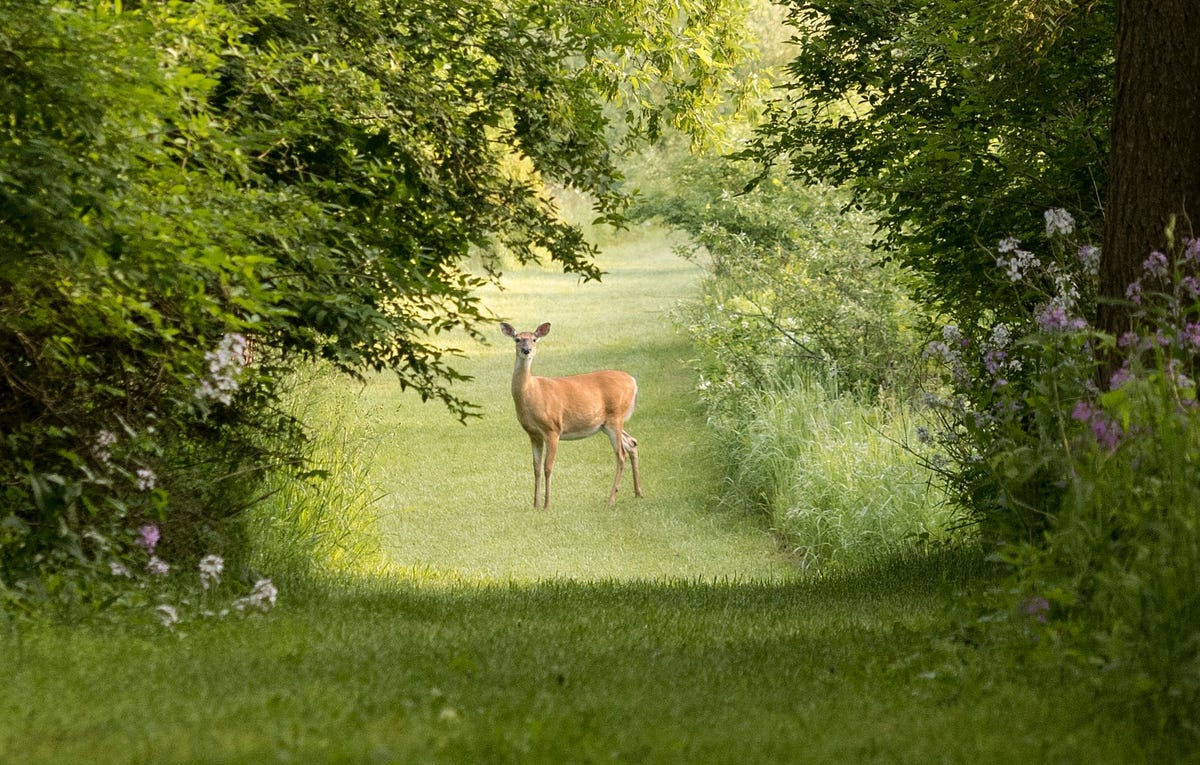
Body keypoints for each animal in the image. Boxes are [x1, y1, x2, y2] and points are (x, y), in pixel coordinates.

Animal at [500, 321, 643, 510]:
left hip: (615, 417)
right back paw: (638, 493)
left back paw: (611, 499)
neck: (532, 392)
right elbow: (536, 468)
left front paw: (547, 505)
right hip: (606, 424)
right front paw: (535, 505)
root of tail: (633, 381)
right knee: (632, 442)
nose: (526, 350)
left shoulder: (552, 428)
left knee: (621, 455)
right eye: (517, 339)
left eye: (534, 339)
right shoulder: (533, 433)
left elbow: (548, 467)